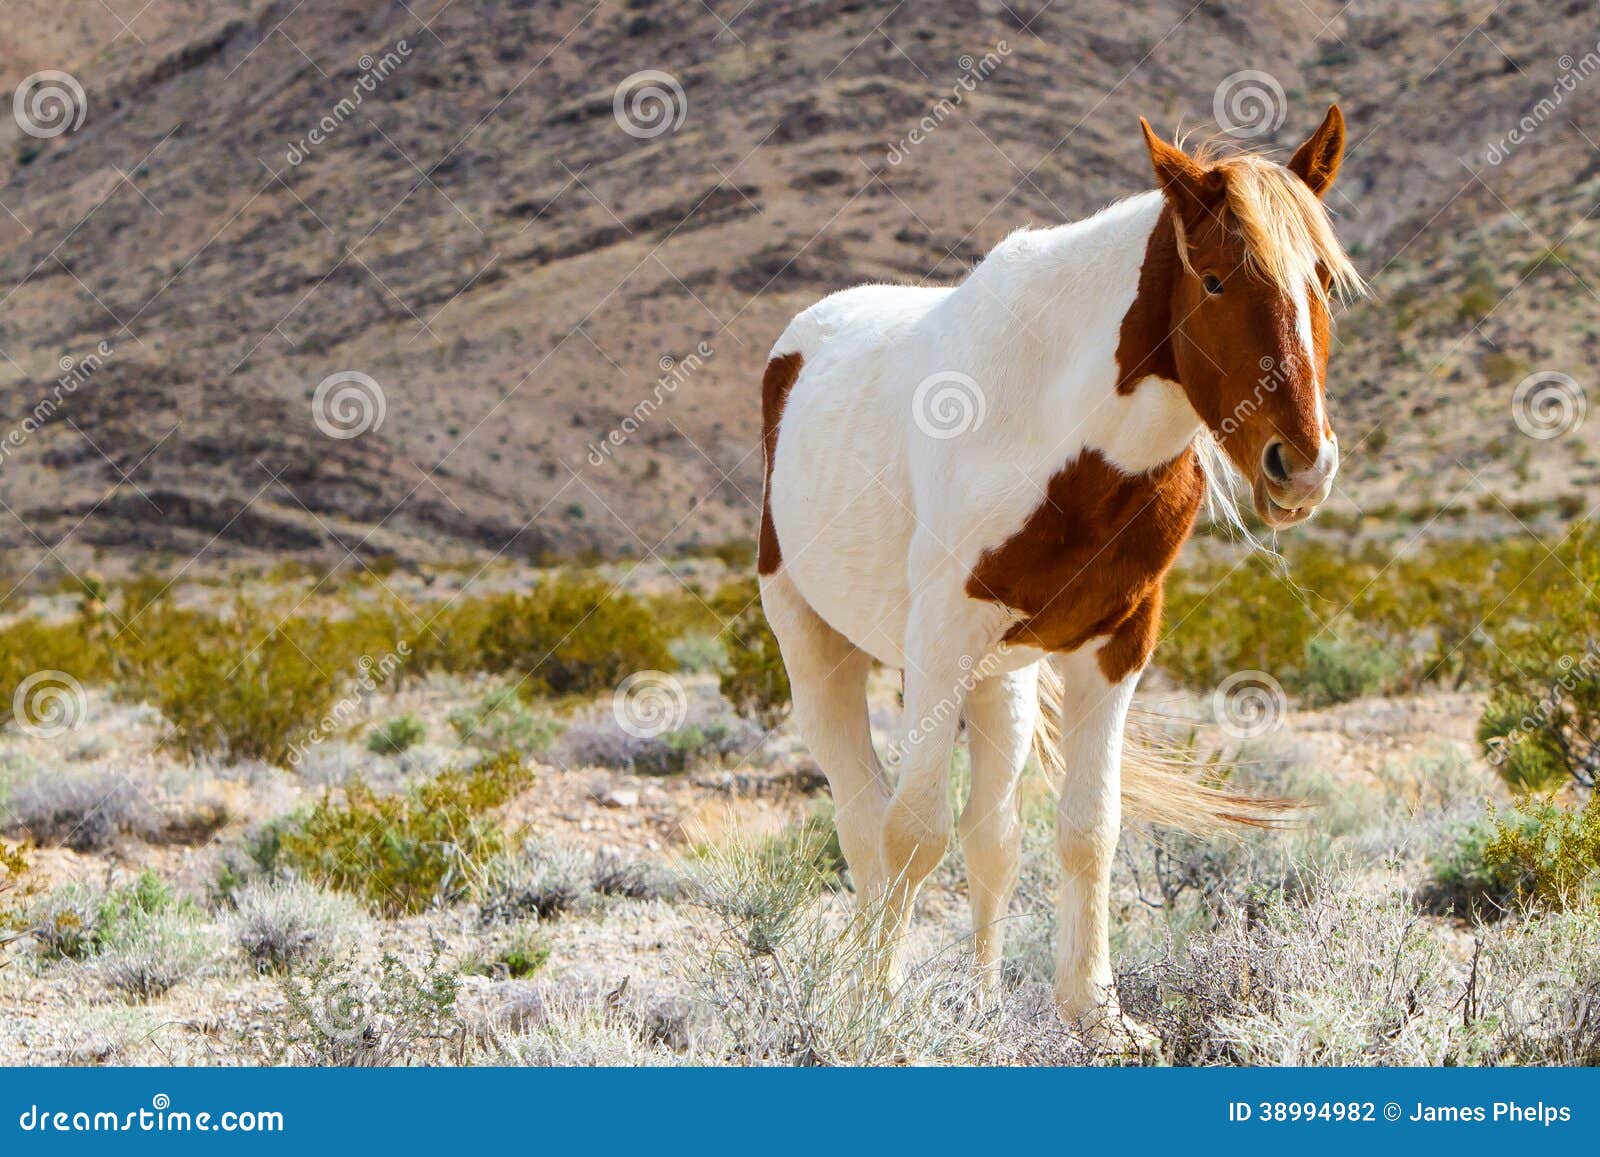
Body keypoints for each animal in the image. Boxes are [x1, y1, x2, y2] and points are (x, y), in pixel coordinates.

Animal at [756, 105, 1363, 1048]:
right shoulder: (937, 641)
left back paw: (980, 1001)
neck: (1057, 424)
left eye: (1325, 283)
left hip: (1001, 677)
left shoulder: (1115, 643)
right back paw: (864, 983)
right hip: (815, 643)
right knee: (863, 820)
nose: (1301, 466)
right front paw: (879, 1017)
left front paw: (1096, 1013)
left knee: (992, 838)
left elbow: (1086, 829)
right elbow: (911, 831)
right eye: (1215, 280)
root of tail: (797, 345)